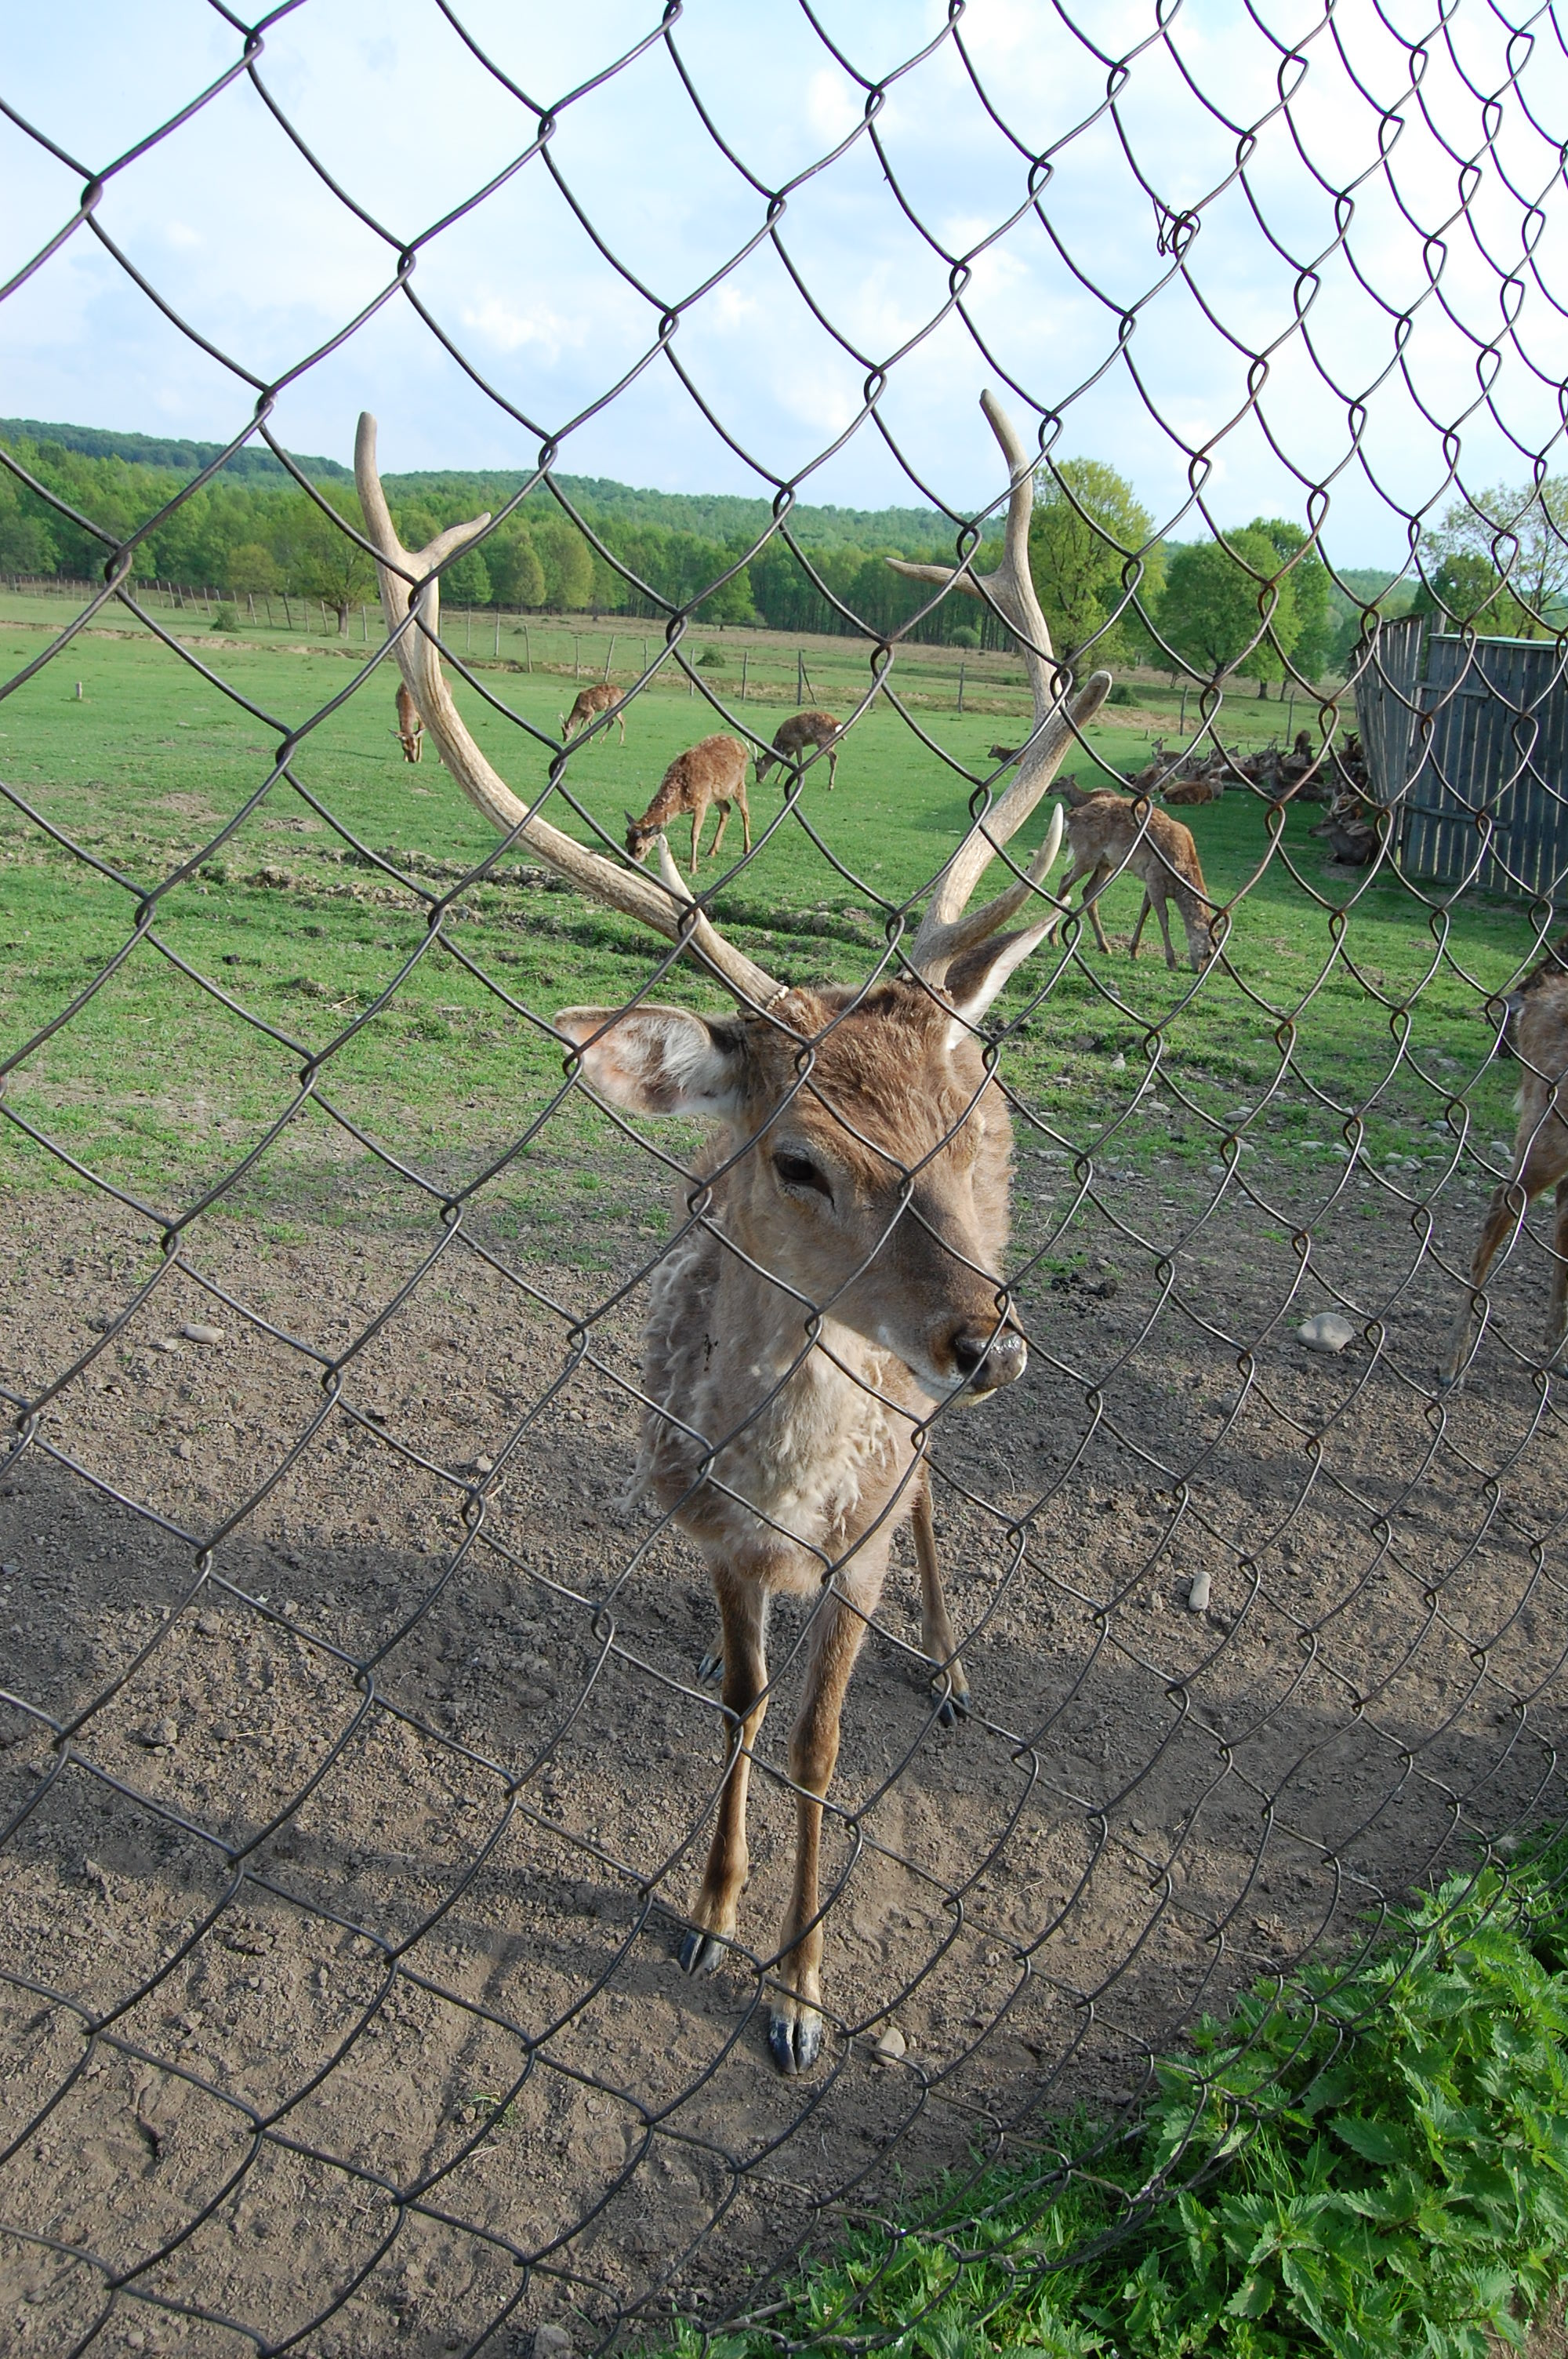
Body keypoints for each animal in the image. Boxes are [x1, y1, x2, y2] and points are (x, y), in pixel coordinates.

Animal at [625, 735, 752, 874]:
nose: (628, 865)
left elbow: (694, 835)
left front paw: (693, 868)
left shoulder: (701, 804)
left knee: (745, 810)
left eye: (639, 848)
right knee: (726, 809)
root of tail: (740, 745)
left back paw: (746, 849)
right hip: (717, 795)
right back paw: (712, 851)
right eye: (626, 843)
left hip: (739, 784)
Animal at [1057, 793, 1216, 972]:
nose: (1199, 970)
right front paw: (1171, 962)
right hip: (1087, 853)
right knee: (1065, 880)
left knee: (1088, 891)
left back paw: (1104, 946)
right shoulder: (1155, 877)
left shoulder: (1149, 880)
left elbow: (1144, 910)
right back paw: (1053, 939)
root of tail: (1071, 817)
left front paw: (1134, 952)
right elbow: (1164, 917)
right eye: (1209, 952)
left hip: (1106, 863)